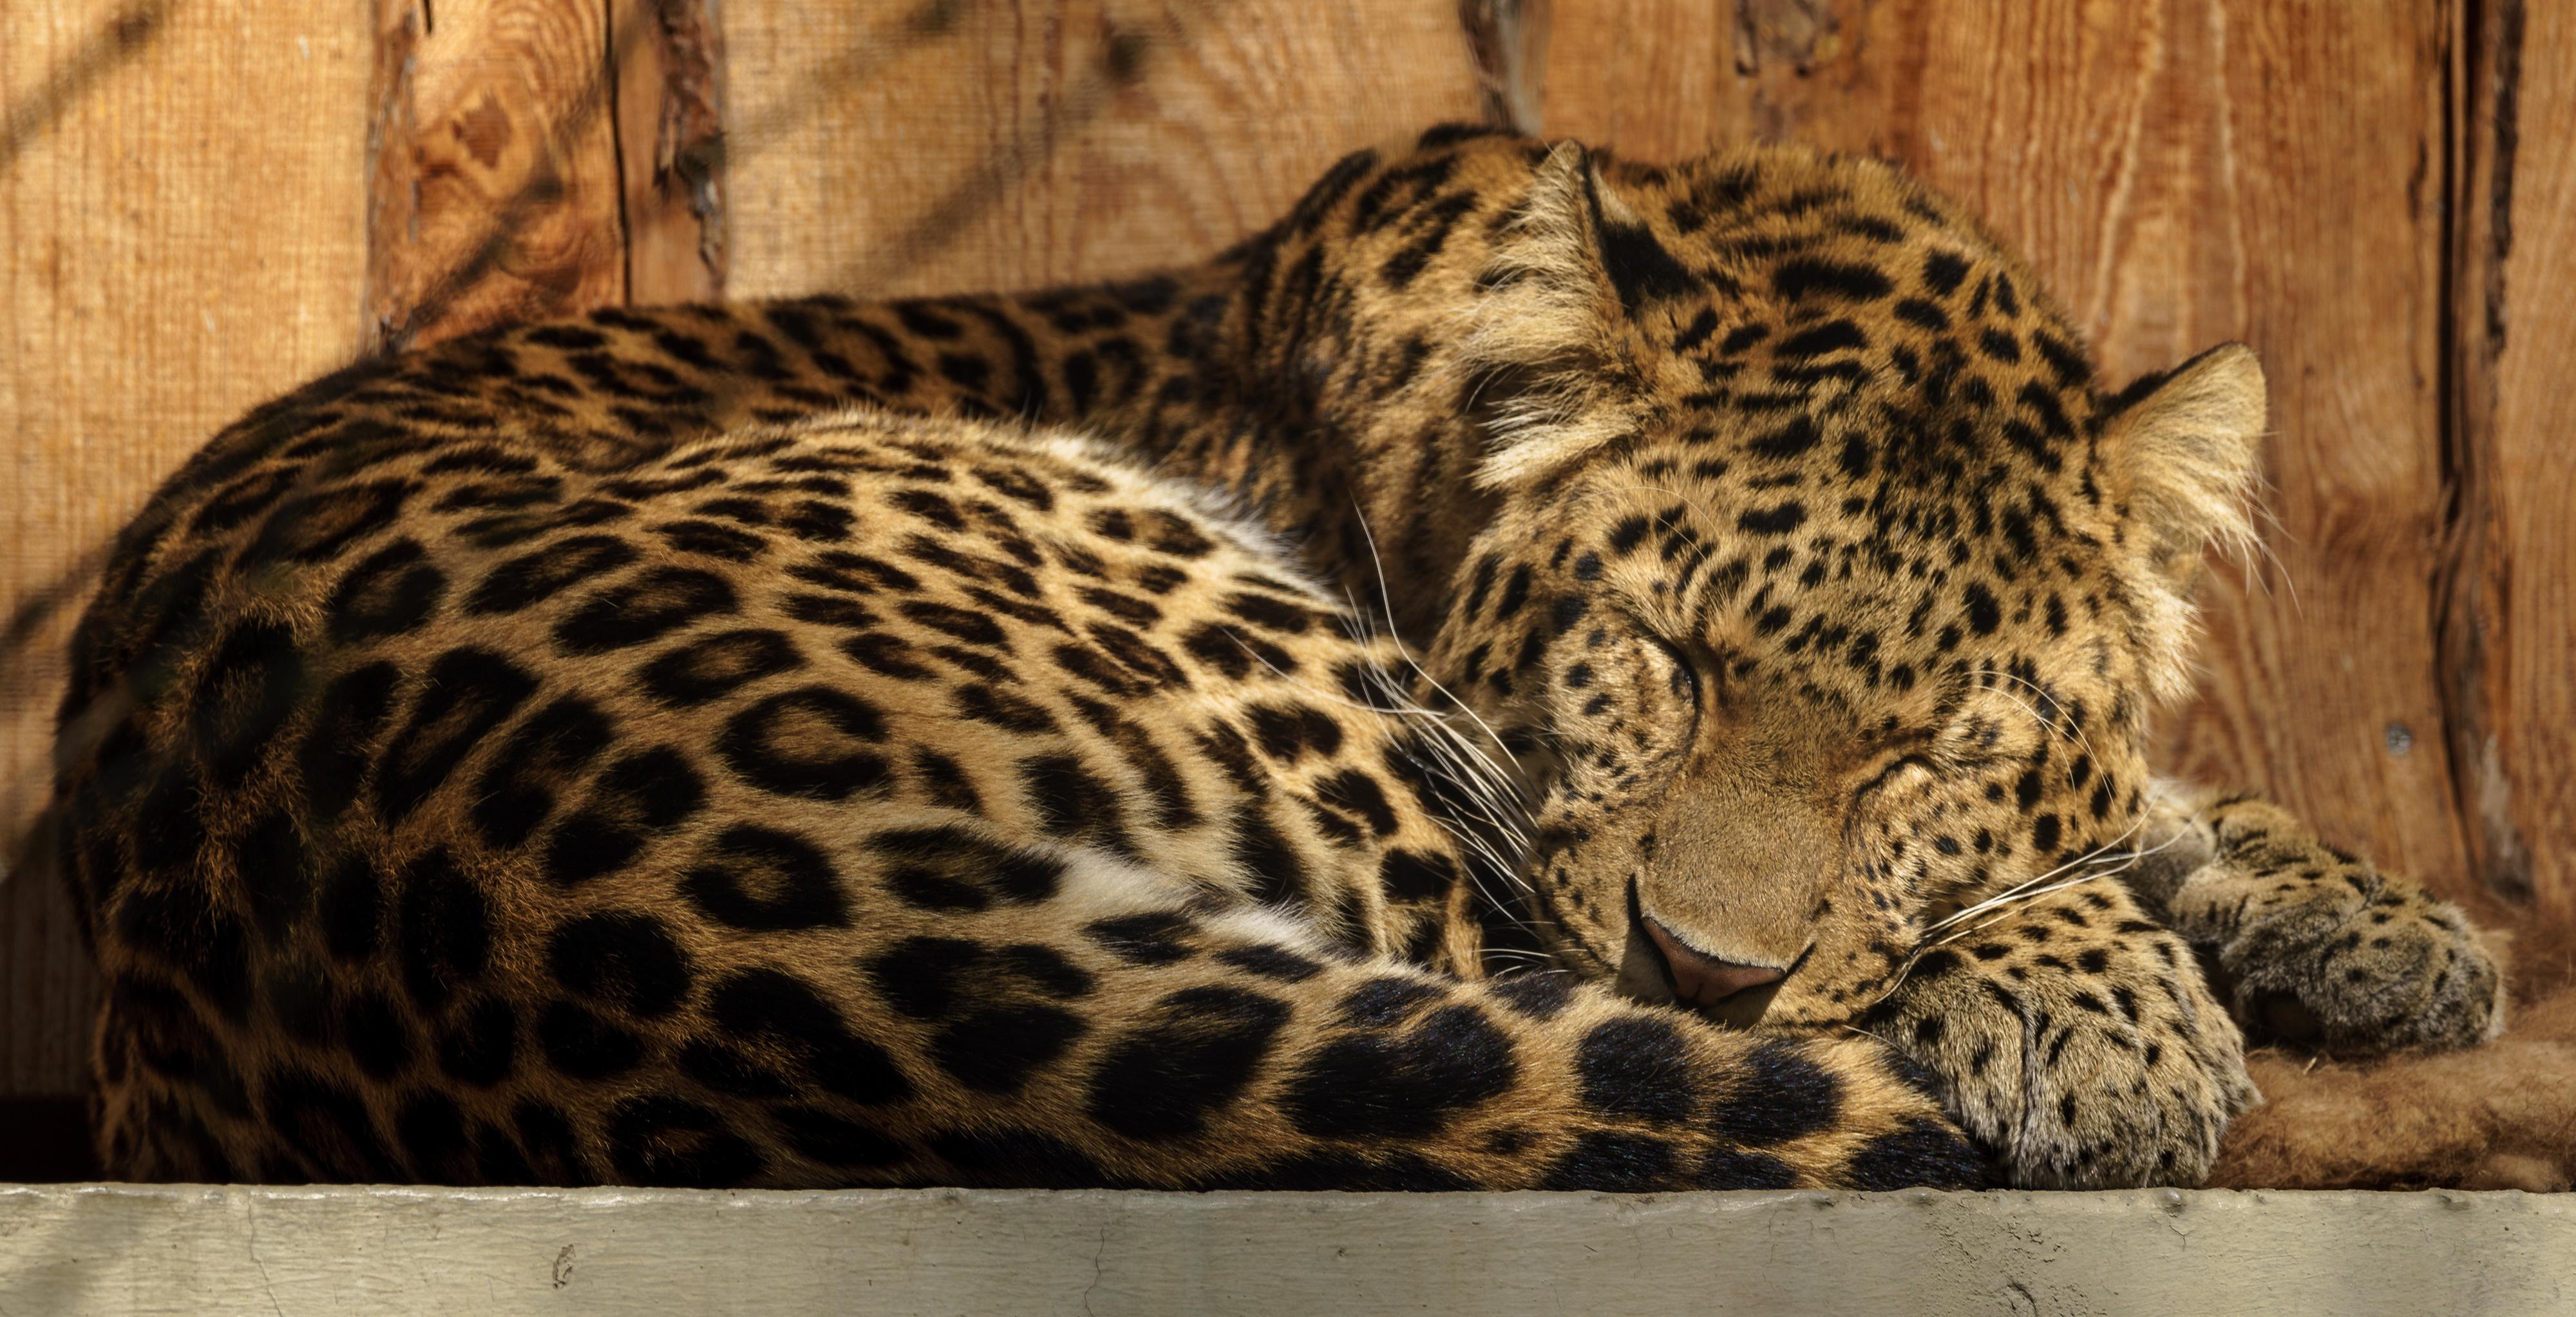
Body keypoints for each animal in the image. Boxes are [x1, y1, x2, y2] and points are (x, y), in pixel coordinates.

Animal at [50, 124, 2501, 1192]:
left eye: (1931, 751)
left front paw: (2380, 923)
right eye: (1664, 657)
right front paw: (2110, 1011)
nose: (1711, 971)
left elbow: (2130, 804)